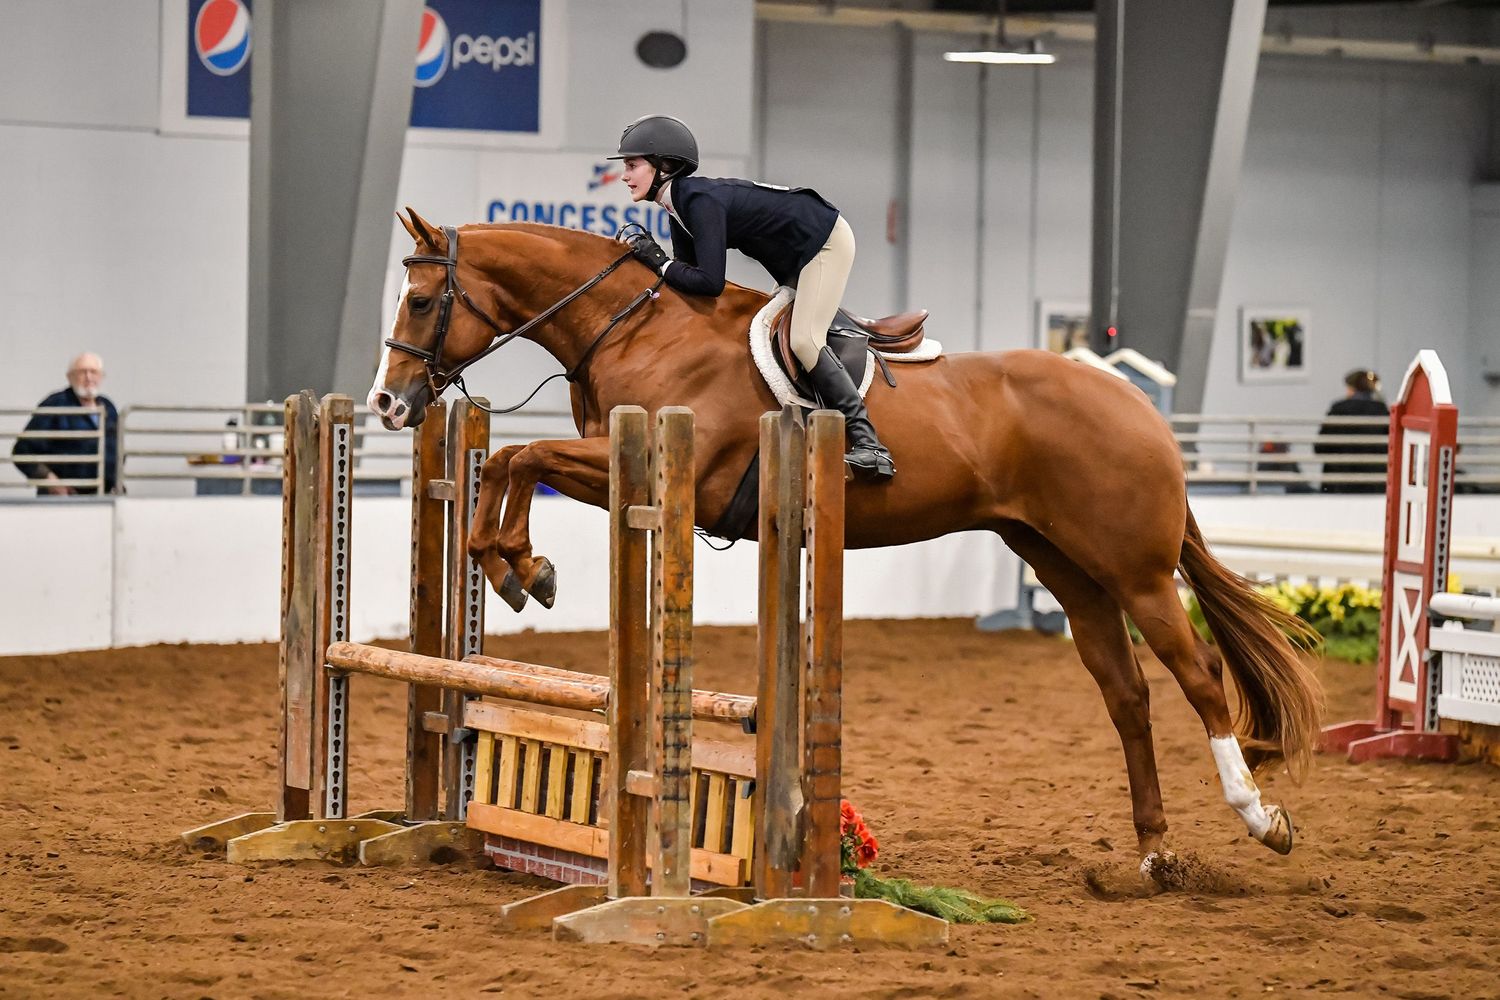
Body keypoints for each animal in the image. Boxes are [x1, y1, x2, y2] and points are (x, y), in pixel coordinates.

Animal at [368, 209, 1323, 878]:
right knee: (1125, 693)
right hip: (1065, 565)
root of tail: (1139, 407)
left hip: (1135, 569)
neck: (635, 325)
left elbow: (523, 456)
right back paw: (1157, 852)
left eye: (420, 299)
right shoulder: (624, 470)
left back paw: (1262, 819)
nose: (386, 404)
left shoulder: (668, 469)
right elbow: (514, 463)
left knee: (1198, 675)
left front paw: (524, 568)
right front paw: (515, 566)